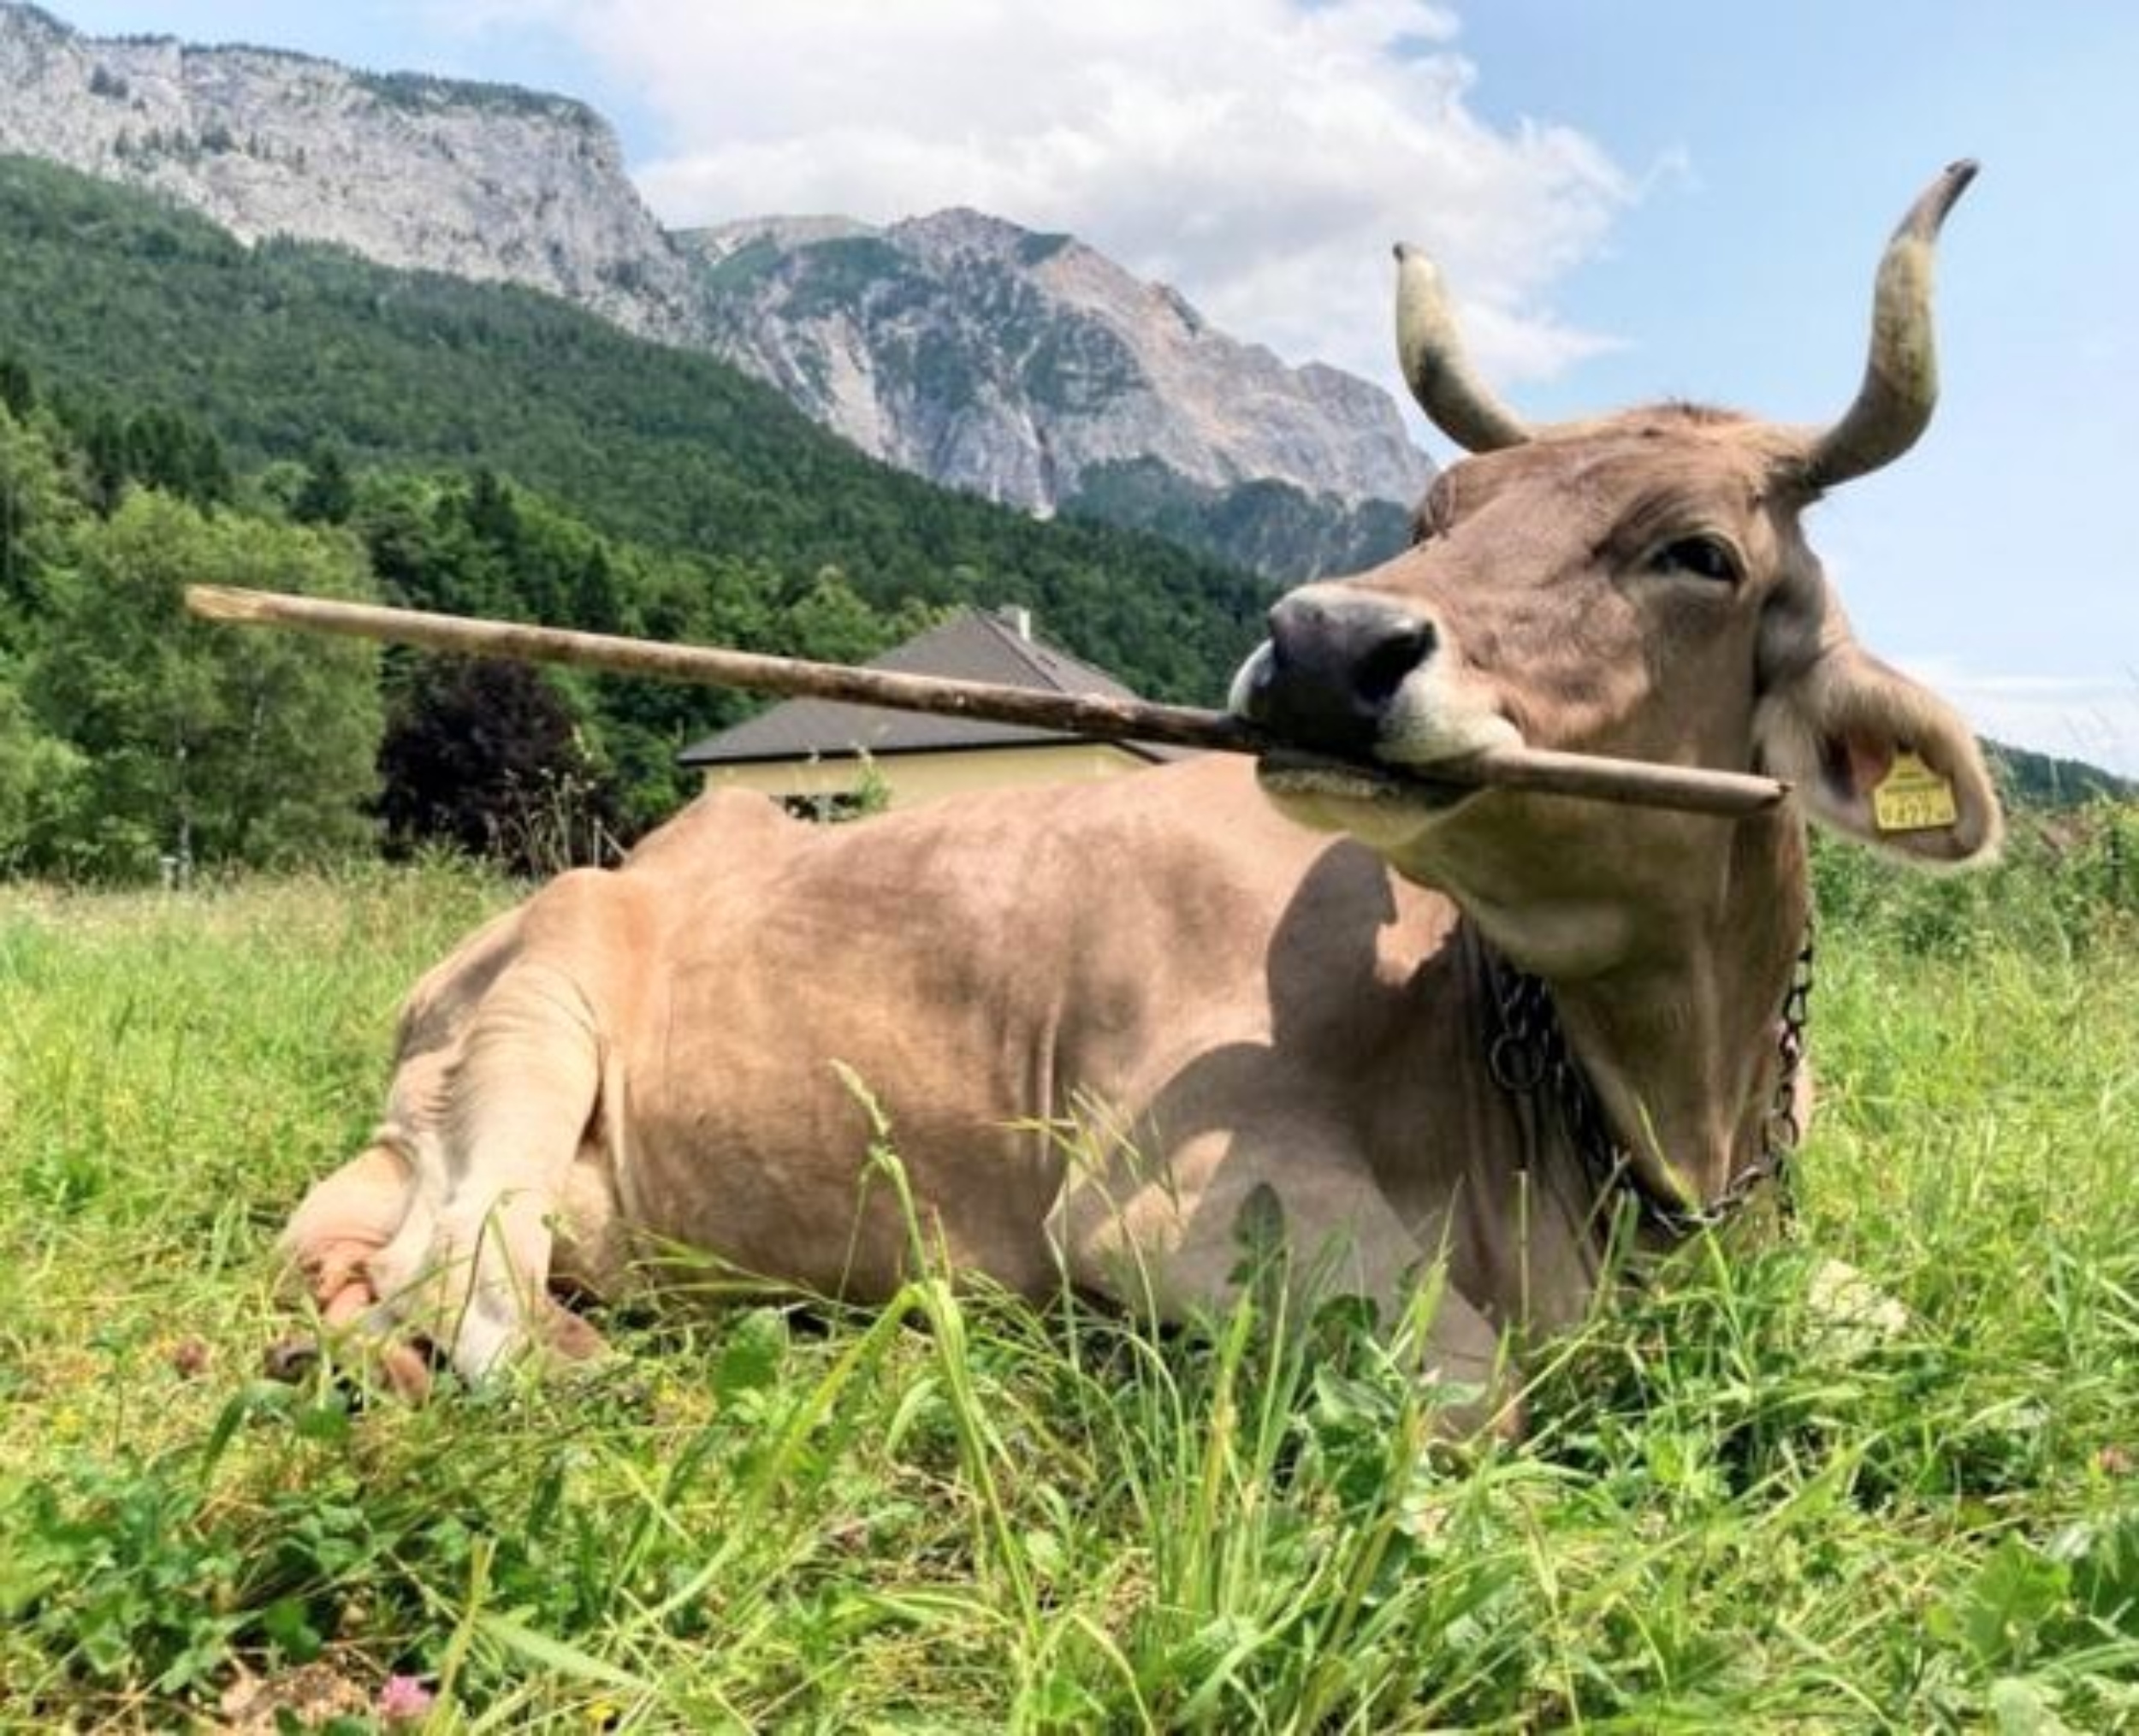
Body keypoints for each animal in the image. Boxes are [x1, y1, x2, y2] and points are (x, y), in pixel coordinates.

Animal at [279, 163, 1999, 1426]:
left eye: (1699, 552)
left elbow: (1900, 1317)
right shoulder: (1169, 1202)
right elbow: (1477, 1386)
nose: (1323, 645)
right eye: (1436, 511)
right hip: (536, 1016)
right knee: (465, 1277)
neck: (1660, 1119)